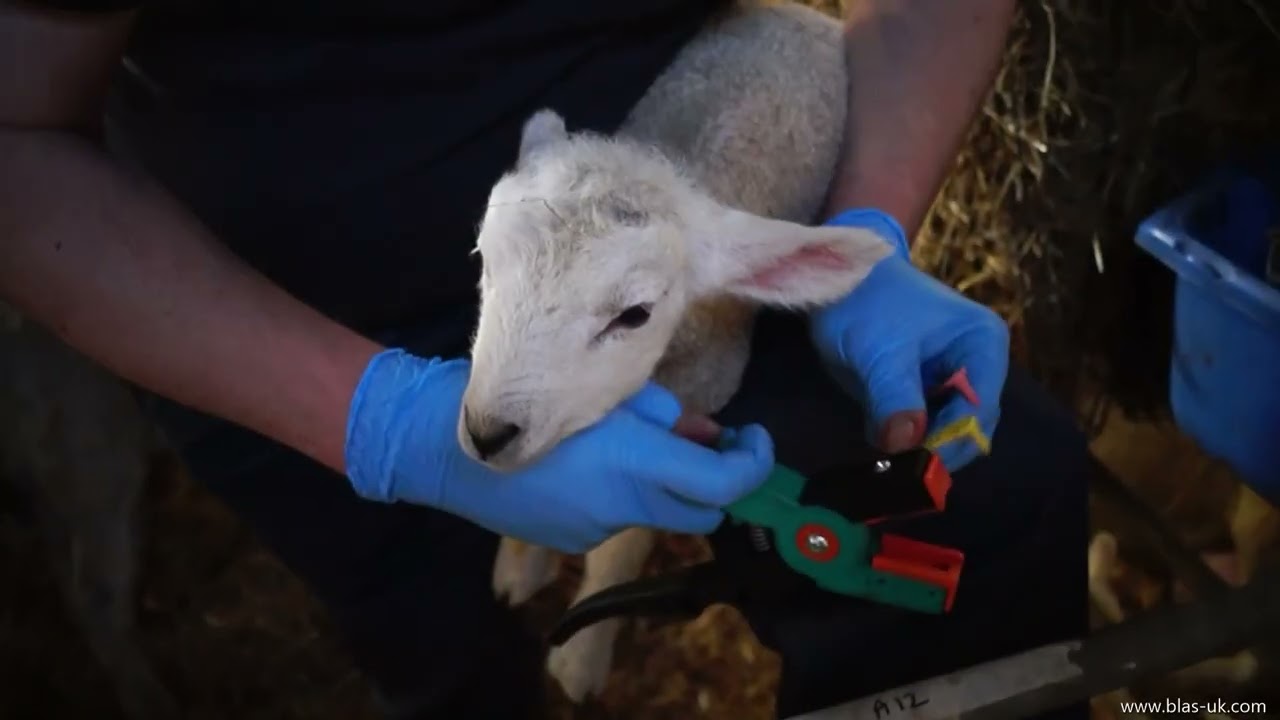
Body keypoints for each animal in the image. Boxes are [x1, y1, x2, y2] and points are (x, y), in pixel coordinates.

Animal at [458, 0, 897, 702]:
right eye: (482, 259)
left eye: (634, 315)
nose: (485, 432)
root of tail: (800, 13)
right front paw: (520, 561)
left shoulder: (696, 406)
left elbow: (628, 536)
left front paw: (579, 660)